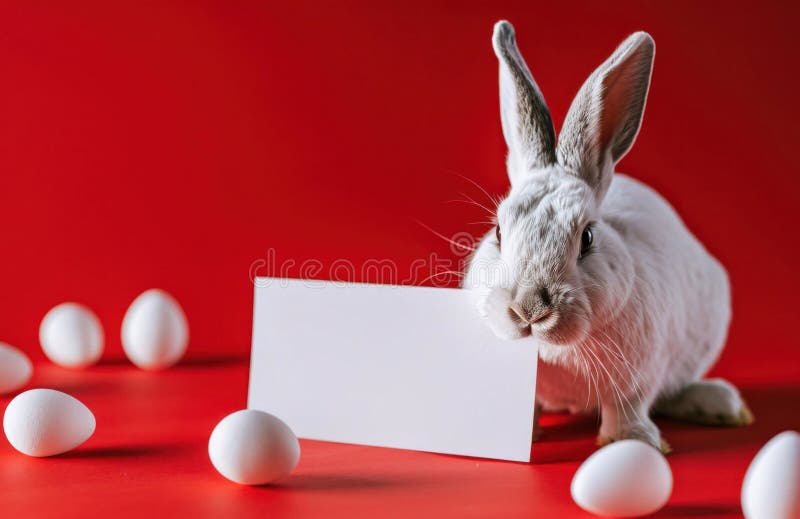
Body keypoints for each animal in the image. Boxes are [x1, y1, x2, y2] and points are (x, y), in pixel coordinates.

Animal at [464, 20, 753, 452]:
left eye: (586, 238)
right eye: (499, 232)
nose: (529, 308)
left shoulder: (640, 376)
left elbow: (628, 407)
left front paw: (635, 442)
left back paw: (720, 404)